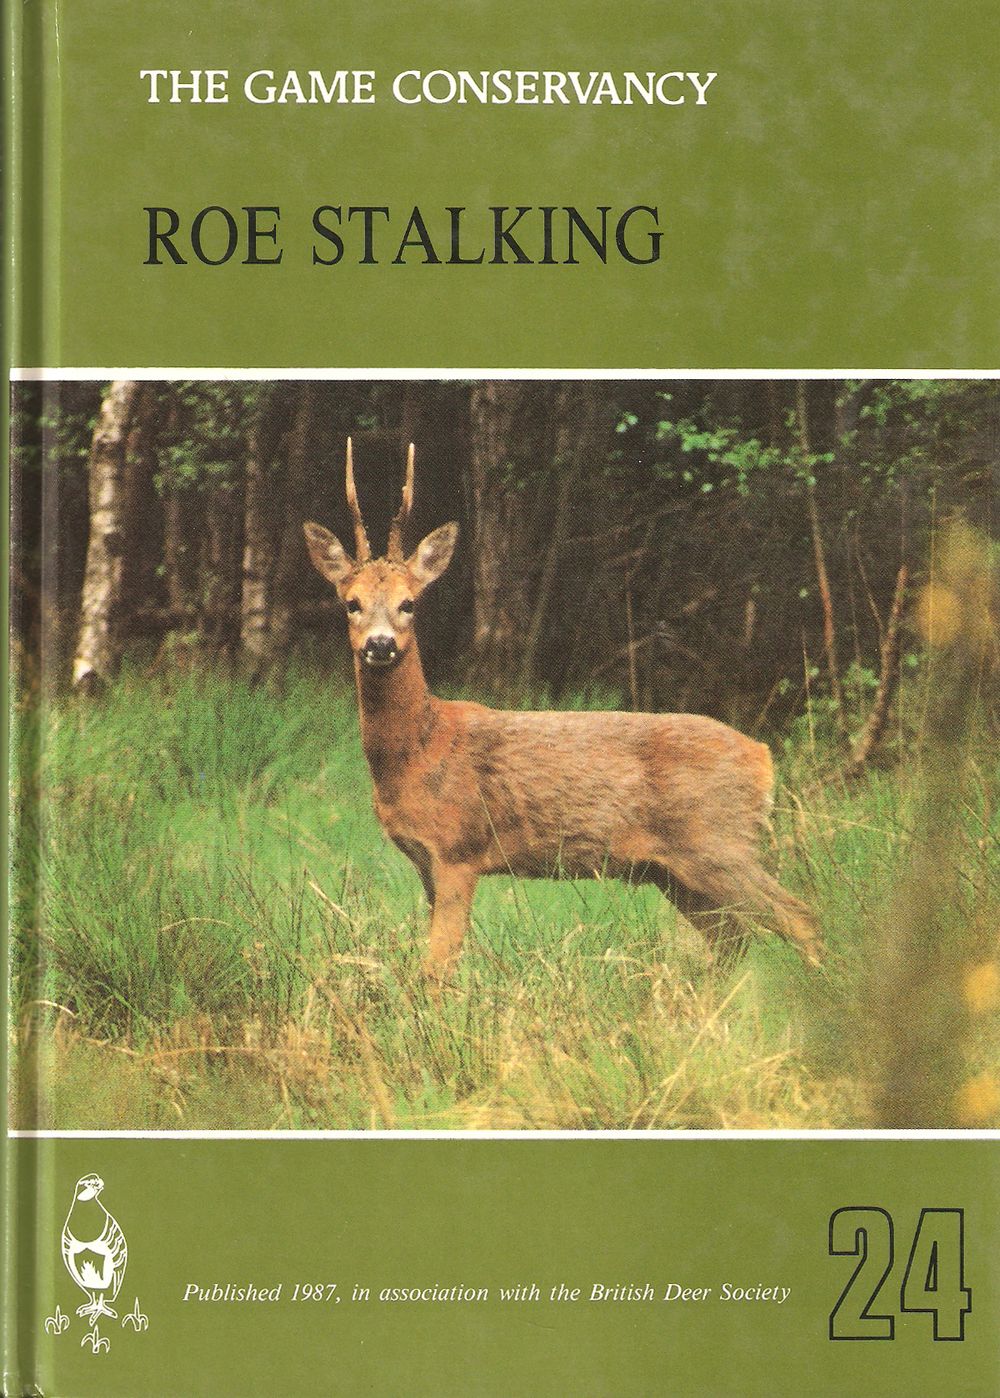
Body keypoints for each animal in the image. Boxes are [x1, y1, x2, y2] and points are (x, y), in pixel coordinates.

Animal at [304, 440, 823, 984]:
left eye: (409, 603)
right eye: (351, 603)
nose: (380, 645)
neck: (420, 750)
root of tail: (763, 757)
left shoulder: (460, 849)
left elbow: (437, 969)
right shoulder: (427, 861)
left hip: (720, 843)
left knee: (801, 918)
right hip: (674, 870)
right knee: (733, 942)